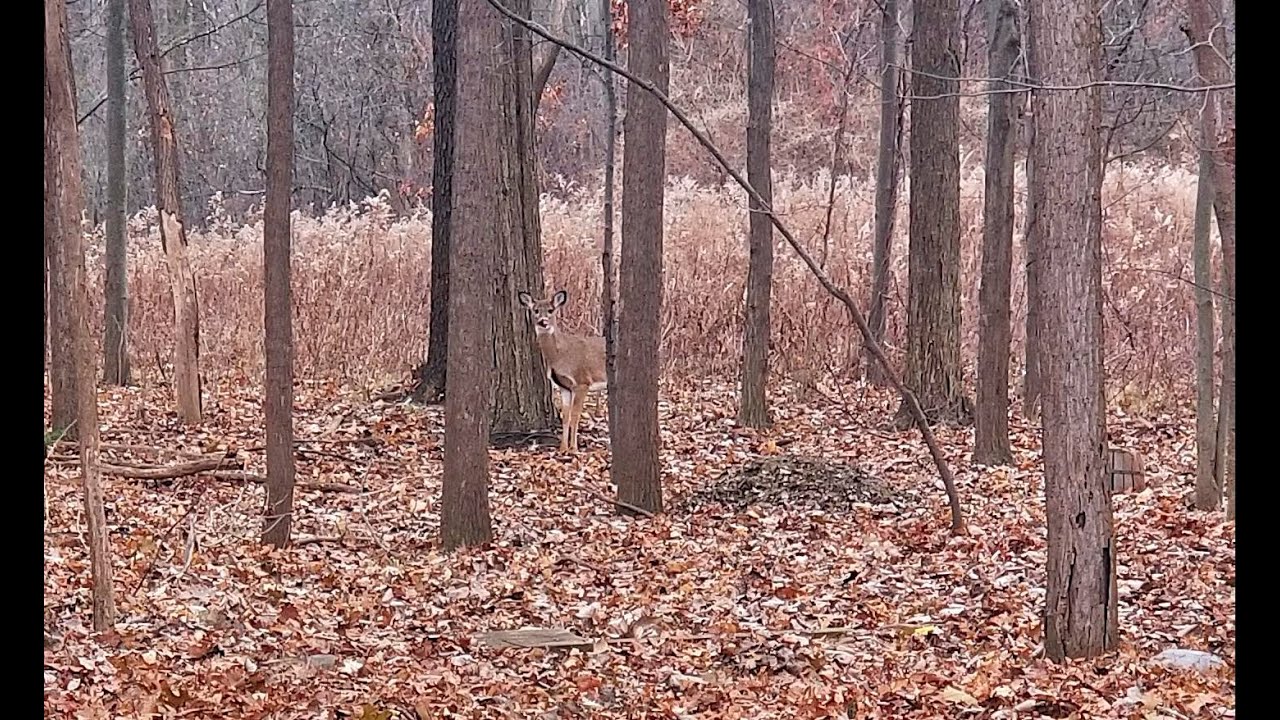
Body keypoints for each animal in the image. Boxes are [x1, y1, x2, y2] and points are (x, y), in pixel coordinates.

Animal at [517, 289, 607, 453]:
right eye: (536, 310)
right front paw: (562, 448)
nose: (543, 322)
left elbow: (575, 415)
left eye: (550, 310)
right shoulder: (564, 387)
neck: (560, 355)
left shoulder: (582, 381)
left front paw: (574, 448)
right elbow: (565, 416)